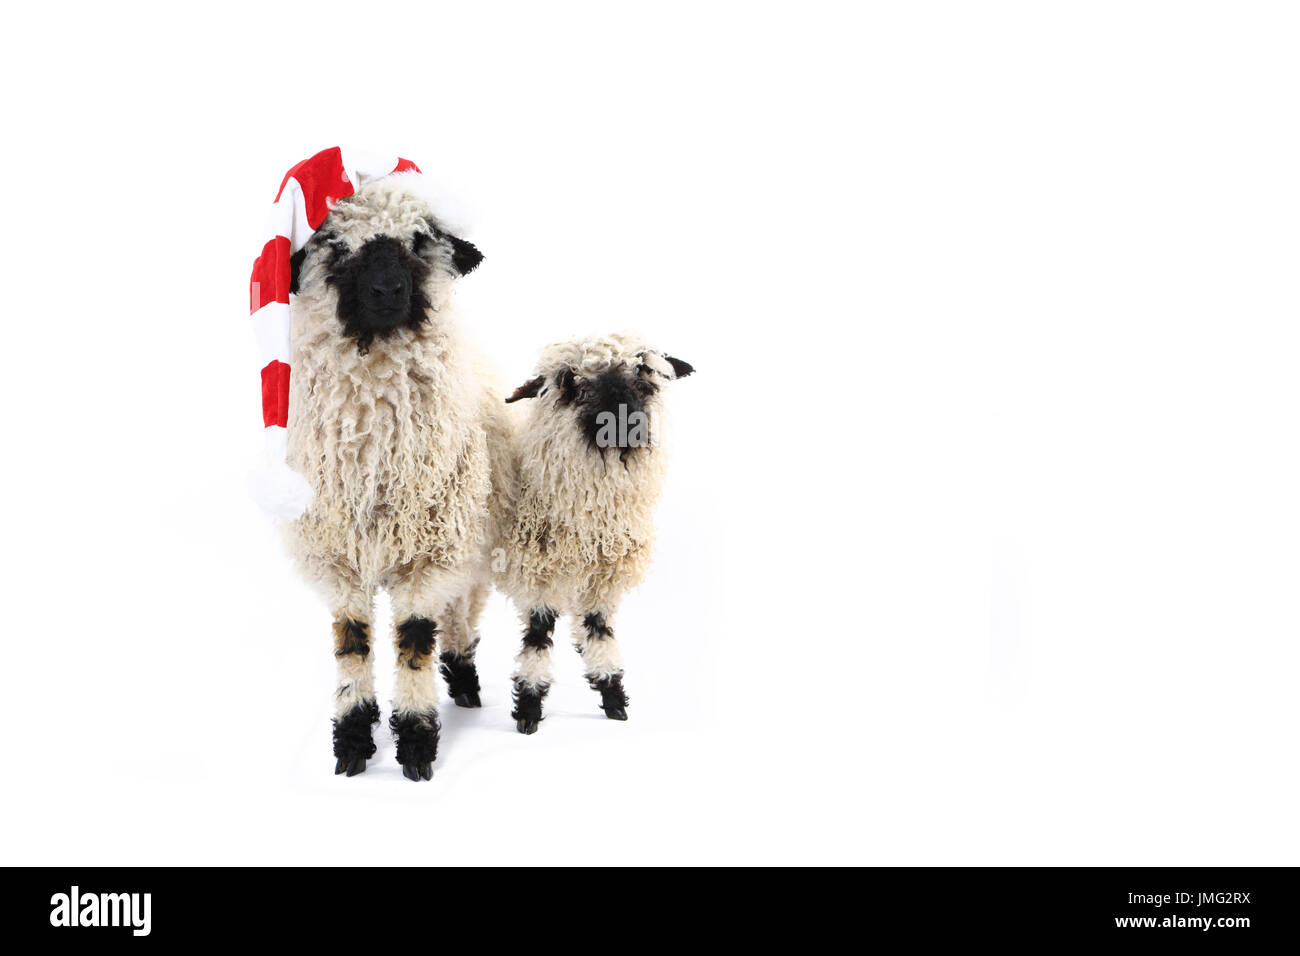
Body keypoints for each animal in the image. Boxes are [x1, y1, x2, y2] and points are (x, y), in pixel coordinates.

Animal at [280, 175, 512, 781]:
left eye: (419, 240)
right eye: (336, 246)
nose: (387, 291)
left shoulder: (430, 556)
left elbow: (413, 642)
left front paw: (415, 745)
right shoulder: (336, 556)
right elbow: (353, 643)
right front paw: (354, 742)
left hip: (468, 544)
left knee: (459, 620)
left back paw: (466, 685)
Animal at [497, 333, 694, 733]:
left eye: (646, 374)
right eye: (571, 383)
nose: (626, 420)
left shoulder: (602, 578)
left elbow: (598, 632)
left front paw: (612, 695)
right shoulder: (537, 572)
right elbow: (537, 638)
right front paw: (528, 707)